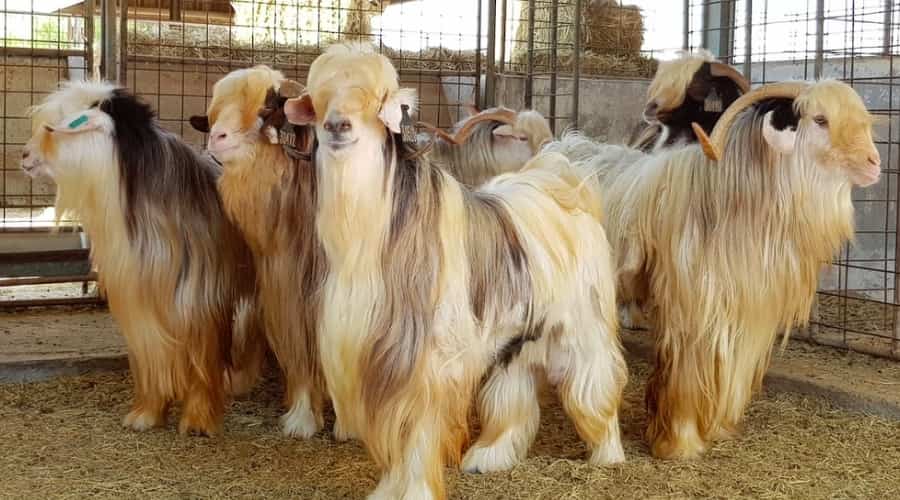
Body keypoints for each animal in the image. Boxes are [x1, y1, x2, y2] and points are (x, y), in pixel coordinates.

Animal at [22, 82, 257, 435]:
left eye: (57, 127)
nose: (24, 155)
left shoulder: (200, 299)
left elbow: (203, 355)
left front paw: (198, 420)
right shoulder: (139, 298)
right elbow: (151, 353)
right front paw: (146, 414)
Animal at [187, 66, 329, 439]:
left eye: (267, 108)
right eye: (215, 111)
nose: (217, 138)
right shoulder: (285, 292)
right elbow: (298, 349)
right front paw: (302, 413)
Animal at [283, 42, 627, 500]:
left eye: (377, 100)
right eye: (320, 97)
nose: (338, 125)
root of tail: (564, 183)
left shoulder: (429, 363)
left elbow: (417, 433)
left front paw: (415, 490)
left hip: (583, 325)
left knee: (595, 384)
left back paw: (609, 455)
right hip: (518, 334)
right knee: (514, 392)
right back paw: (489, 456)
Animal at [546, 80, 881, 460]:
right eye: (821, 119)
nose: (874, 163)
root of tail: (559, 145)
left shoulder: (743, 313)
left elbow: (727, 374)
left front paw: (717, 429)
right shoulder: (690, 311)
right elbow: (685, 376)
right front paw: (681, 443)